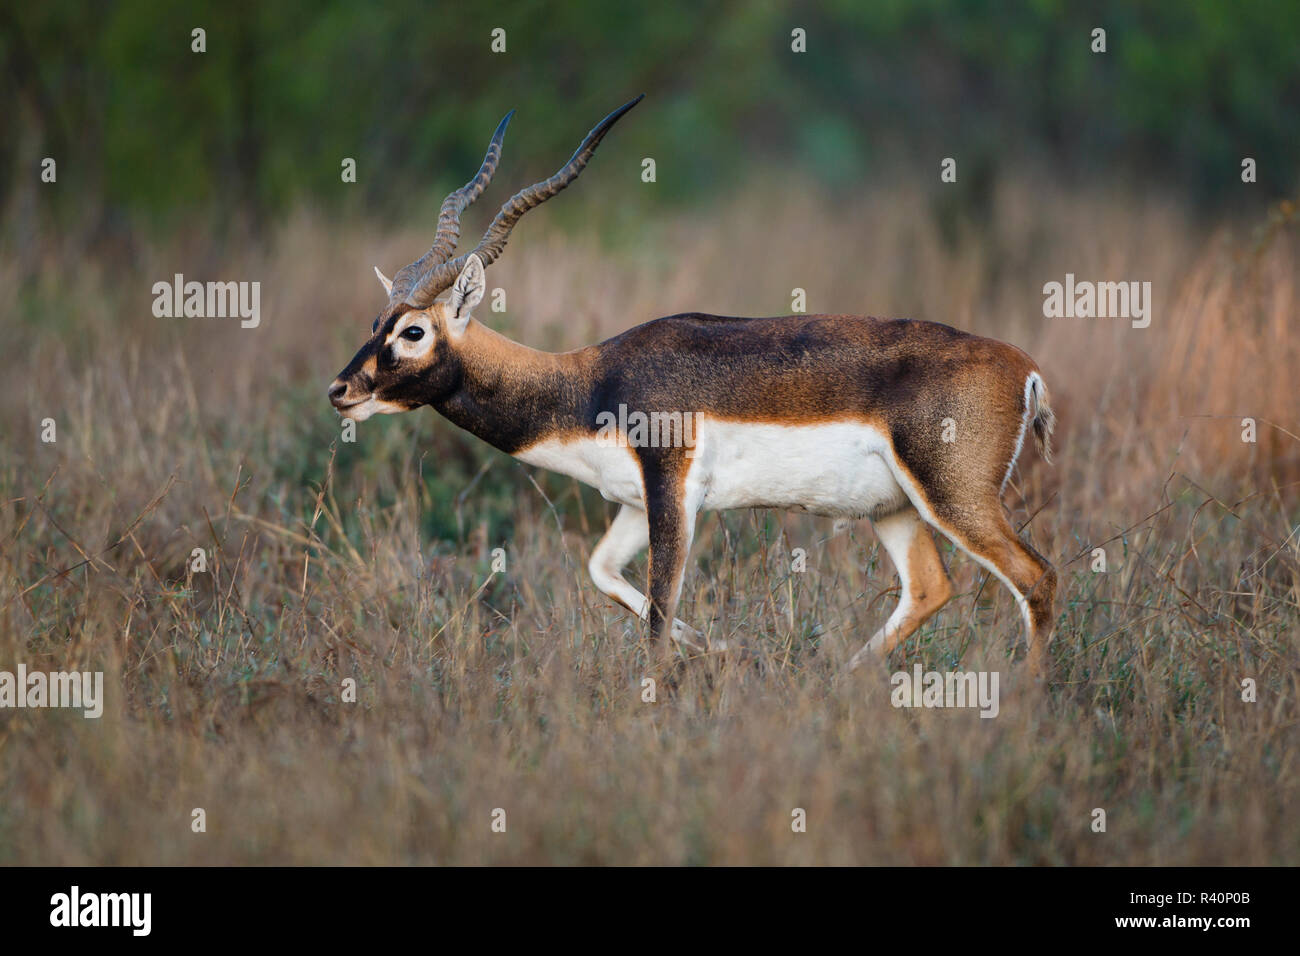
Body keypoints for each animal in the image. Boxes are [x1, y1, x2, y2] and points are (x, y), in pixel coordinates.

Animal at [328, 96, 1058, 671]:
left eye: (413, 332)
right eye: (374, 321)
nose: (341, 391)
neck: (591, 383)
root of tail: (1024, 370)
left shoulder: (673, 491)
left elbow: (655, 613)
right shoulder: (630, 503)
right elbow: (605, 575)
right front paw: (722, 648)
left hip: (953, 497)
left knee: (1038, 578)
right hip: (896, 508)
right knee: (931, 588)